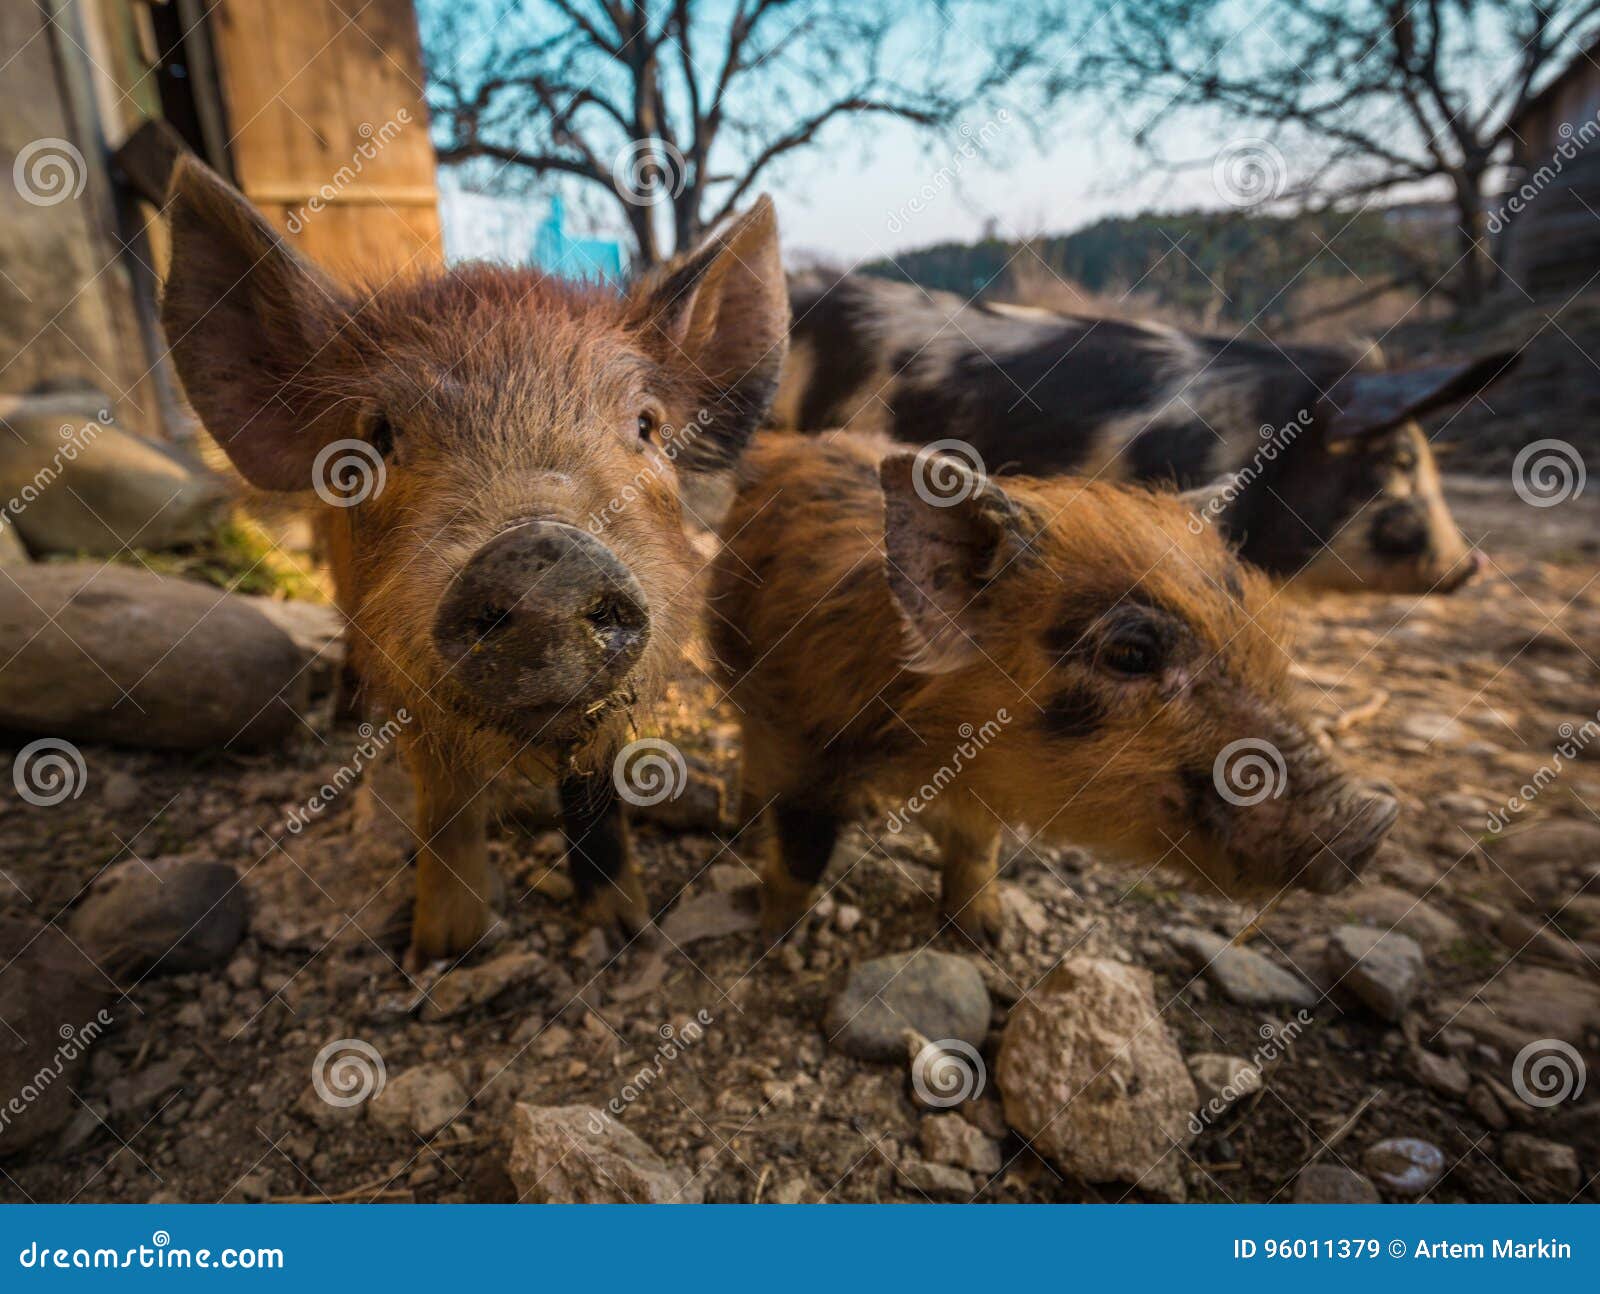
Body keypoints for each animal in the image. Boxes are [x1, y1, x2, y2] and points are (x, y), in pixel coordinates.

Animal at [159, 157, 787, 963]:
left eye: (647, 425)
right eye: (377, 437)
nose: (541, 551)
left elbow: (597, 794)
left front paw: (628, 931)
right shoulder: (404, 665)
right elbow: (444, 795)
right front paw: (446, 948)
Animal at [711, 431, 1398, 943]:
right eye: (1130, 654)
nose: (1376, 817)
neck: (928, 749)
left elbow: (975, 848)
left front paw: (986, 937)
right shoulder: (803, 737)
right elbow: (802, 847)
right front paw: (778, 938)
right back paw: (740, 833)